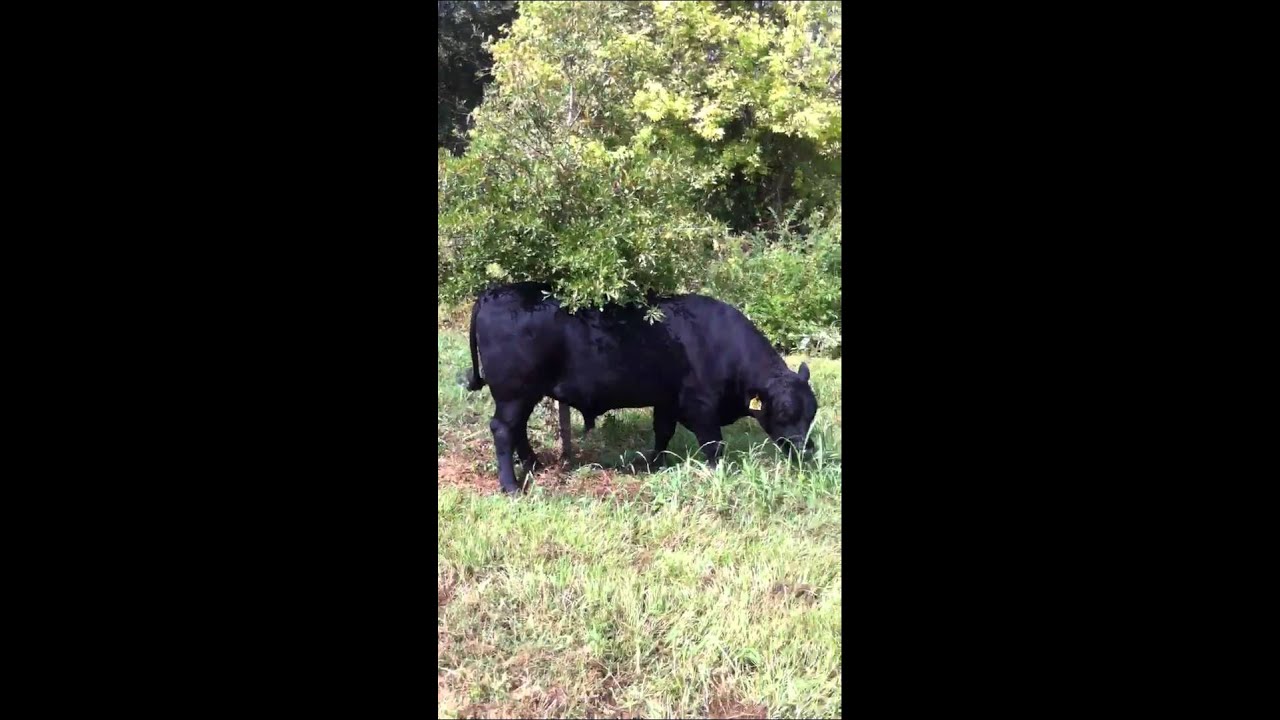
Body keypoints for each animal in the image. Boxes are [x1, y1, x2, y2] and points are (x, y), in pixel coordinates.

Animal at [461, 282, 818, 494]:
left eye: (812, 412)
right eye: (784, 412)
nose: (806, 451)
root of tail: (495, 291)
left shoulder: (667, 401)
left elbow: (662, 433)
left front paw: (652, 463)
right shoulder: (700, 405)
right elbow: (713, 445)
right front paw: (719, 473)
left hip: (523, 394)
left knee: (518, 429)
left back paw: (534, 464)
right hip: (514, 393)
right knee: (504, 430)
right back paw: (511, 486)